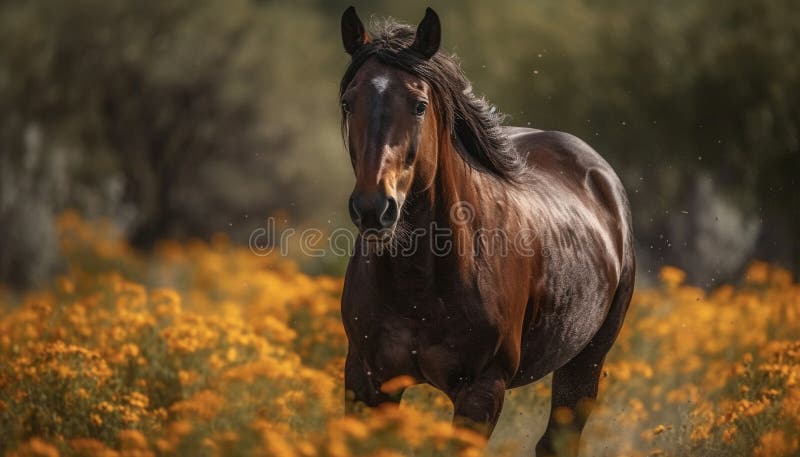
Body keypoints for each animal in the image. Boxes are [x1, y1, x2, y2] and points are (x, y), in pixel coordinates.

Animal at [338, 7, 635, 456]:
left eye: (419, 105)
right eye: (348, 102)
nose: (374, 209)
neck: (421, 280)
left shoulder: (481, 391)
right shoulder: (369, 380)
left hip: (586, 362)